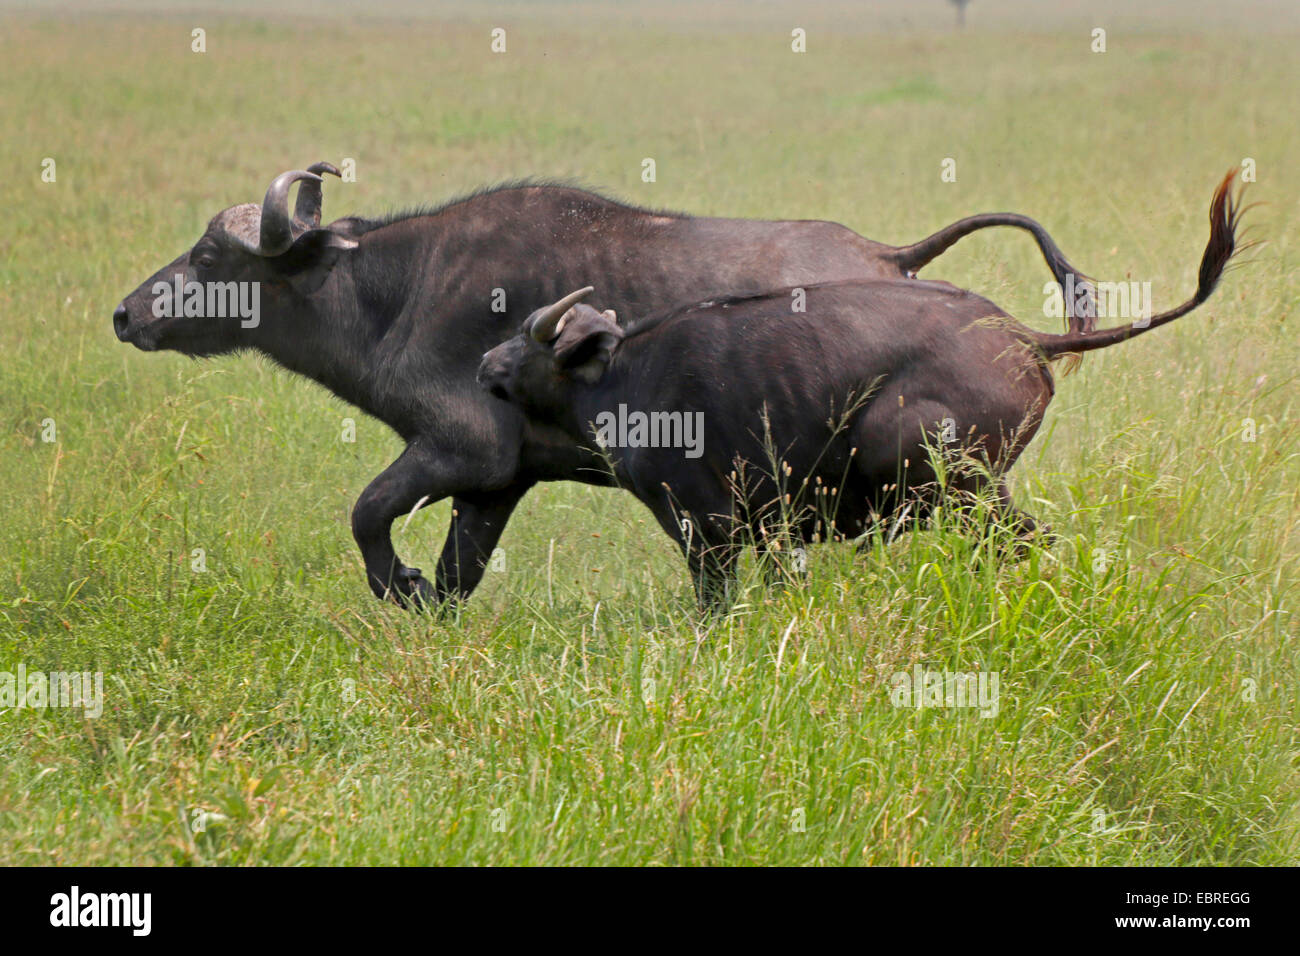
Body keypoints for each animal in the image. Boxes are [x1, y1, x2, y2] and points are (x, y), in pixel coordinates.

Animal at [115, 162, 1103, 605]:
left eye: (212, 258)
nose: (127, 314)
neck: (393, 291)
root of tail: (890, 257)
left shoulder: (460, 451)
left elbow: (367, 514)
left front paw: (398, 582)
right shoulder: (498, 484)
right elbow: (457, 575)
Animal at [477, 172, 1244, 607]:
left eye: (534, 340)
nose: (486, 364)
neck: (629, 378)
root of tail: (1023, 337)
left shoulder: (707, 532)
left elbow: (714, 606)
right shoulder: (770, 535)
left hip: (953, 481)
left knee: (1028, 541)